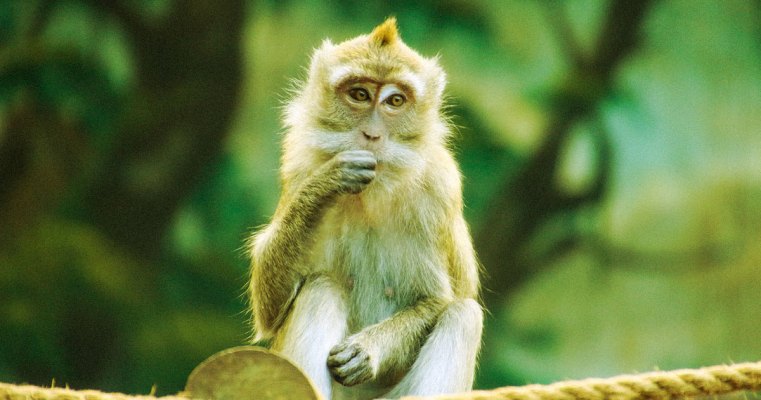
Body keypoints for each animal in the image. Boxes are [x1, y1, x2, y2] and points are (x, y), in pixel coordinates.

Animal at [248, 18, 482, 400]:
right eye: (360, 95)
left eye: (395, 101)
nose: (372, 135)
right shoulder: (298, 165)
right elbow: (269, 312)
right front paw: (328, 181)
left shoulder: (439, 190)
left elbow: (436, 301)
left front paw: (367, 351)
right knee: (322, 288)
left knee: (464, 316)